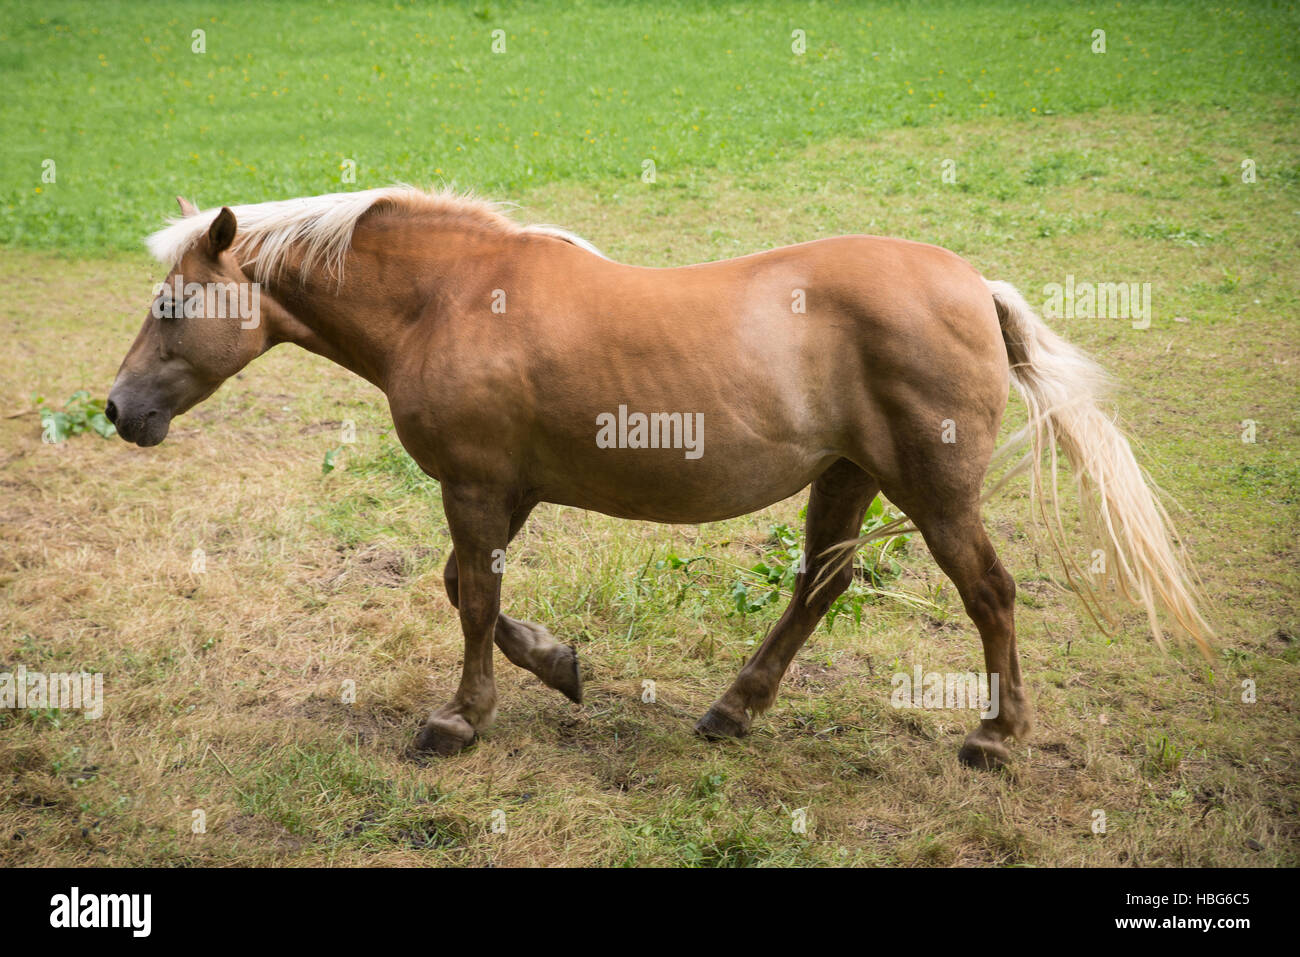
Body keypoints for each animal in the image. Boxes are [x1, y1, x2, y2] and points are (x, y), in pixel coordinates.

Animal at [106, 187, 1211, 769]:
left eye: (172, 306)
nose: (117, 410)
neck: (452, 300)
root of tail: (972, 286)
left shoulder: (474, 491)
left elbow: (471, 599)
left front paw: (460, 718)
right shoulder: (498, 497)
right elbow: (471, 592)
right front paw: (559, 665)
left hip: (933, 494)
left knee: (989, 593)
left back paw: (996, 733)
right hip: (846, 478)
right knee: (820, 586)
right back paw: (733, 709)